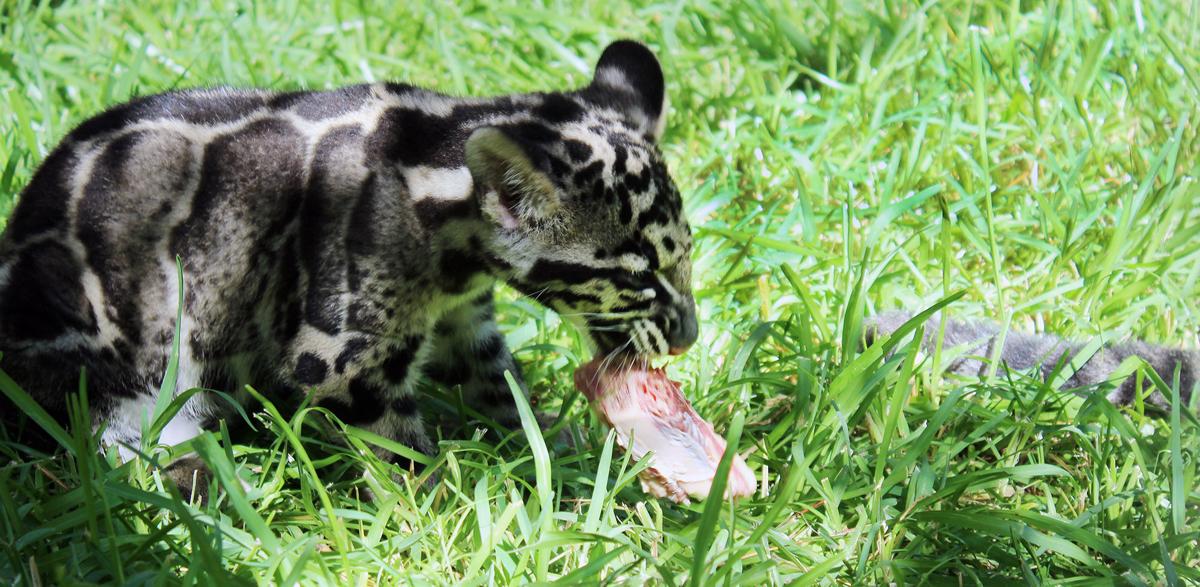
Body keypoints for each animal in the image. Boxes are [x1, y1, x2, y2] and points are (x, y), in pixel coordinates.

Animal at [0, 40, 698, 498]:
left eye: (686, 256)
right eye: (637, 278)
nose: (689, 337)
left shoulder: (464, 321)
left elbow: (501, 384)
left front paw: (553, 444)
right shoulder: (340, 356)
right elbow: (403, 449)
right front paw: (446, 509)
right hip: (144, 368)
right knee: (125, 449)